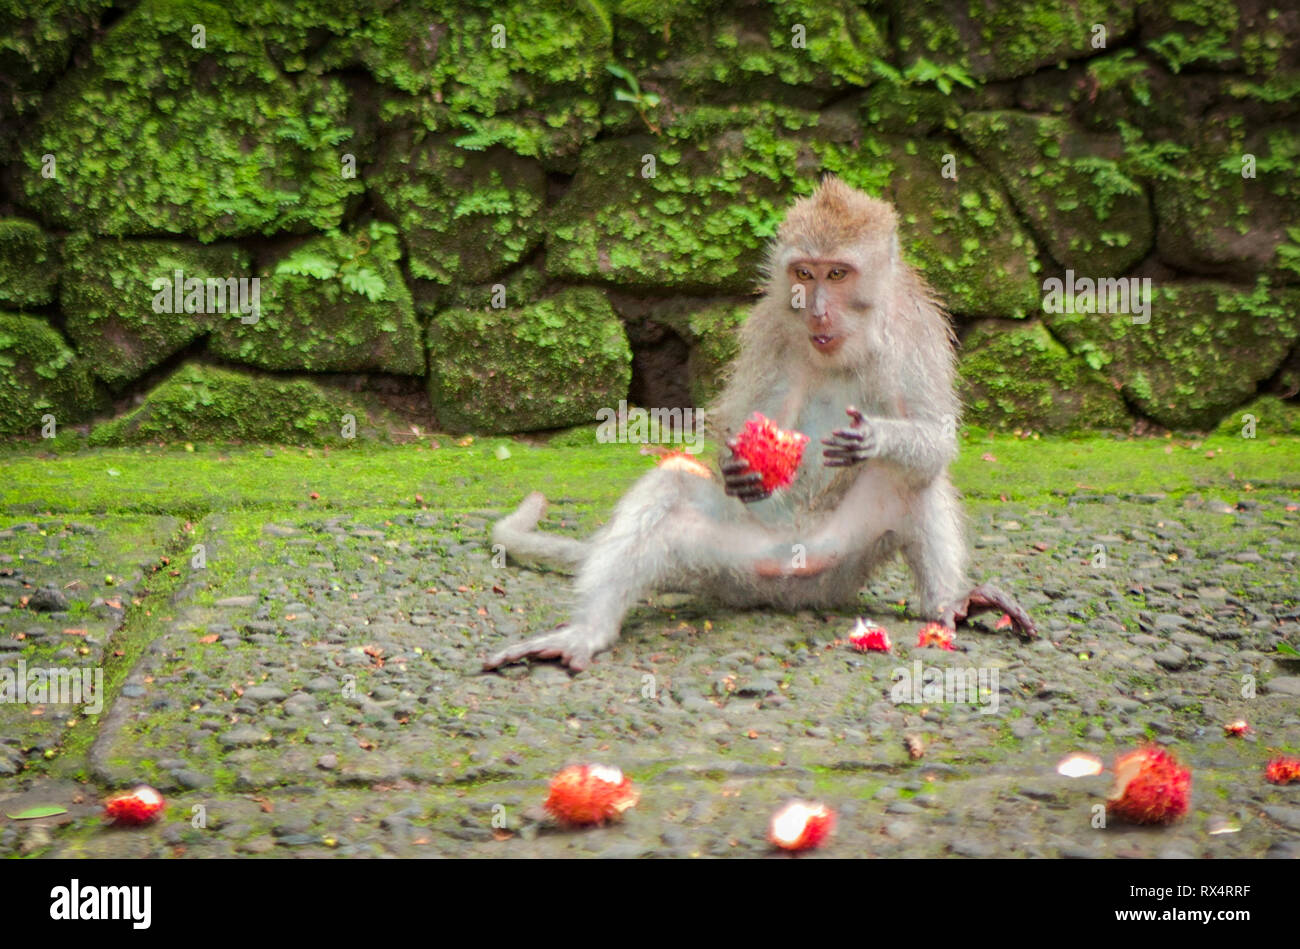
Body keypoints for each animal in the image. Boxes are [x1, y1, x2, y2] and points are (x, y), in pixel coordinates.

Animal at [484, 176, 1035, 671]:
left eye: (838, 274)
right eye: (804, 273)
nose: (816, 310)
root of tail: (795, 579)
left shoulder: (915, 330)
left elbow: (936, 441)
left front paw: (877, 436)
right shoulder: (769, 326)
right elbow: (742, 419)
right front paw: (738, 462)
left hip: (846, 559)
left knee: (913, 478)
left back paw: (950, 604)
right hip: (732, 557)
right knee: (670, 488)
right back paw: (587, 631)